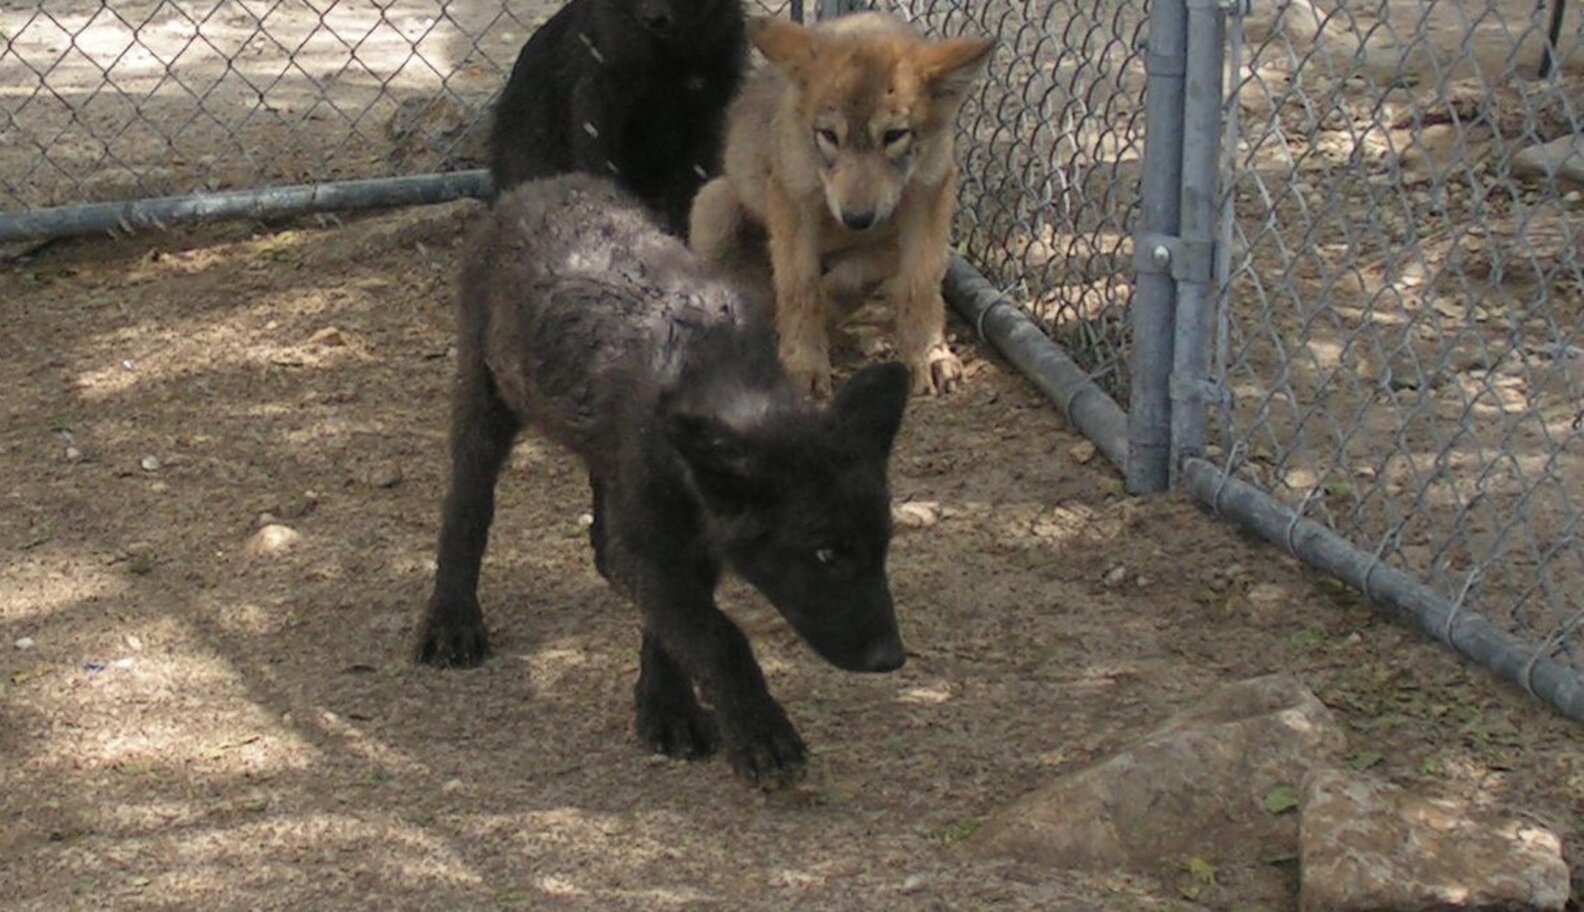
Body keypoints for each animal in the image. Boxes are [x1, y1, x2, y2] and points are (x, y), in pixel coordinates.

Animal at [414, 174, 912, 788]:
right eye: (825, 553)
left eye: (883, 546)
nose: (891, 659)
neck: (717, 375)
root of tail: (543, 185)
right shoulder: (655, 546)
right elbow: (716, 634)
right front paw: (760, 731)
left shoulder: (692, 542)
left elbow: (675, 626)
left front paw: (667, 709)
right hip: (484, 399)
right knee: (467, 506)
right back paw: (452, 618)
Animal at [688, 12, 994, 397]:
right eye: (829, 136)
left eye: (894, 135)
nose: (857, 218)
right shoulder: (794, 199)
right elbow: (800, 288)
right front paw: (804, 363)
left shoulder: (929, 194)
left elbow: (916, 285)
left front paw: (929, 356)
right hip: (714, 207)